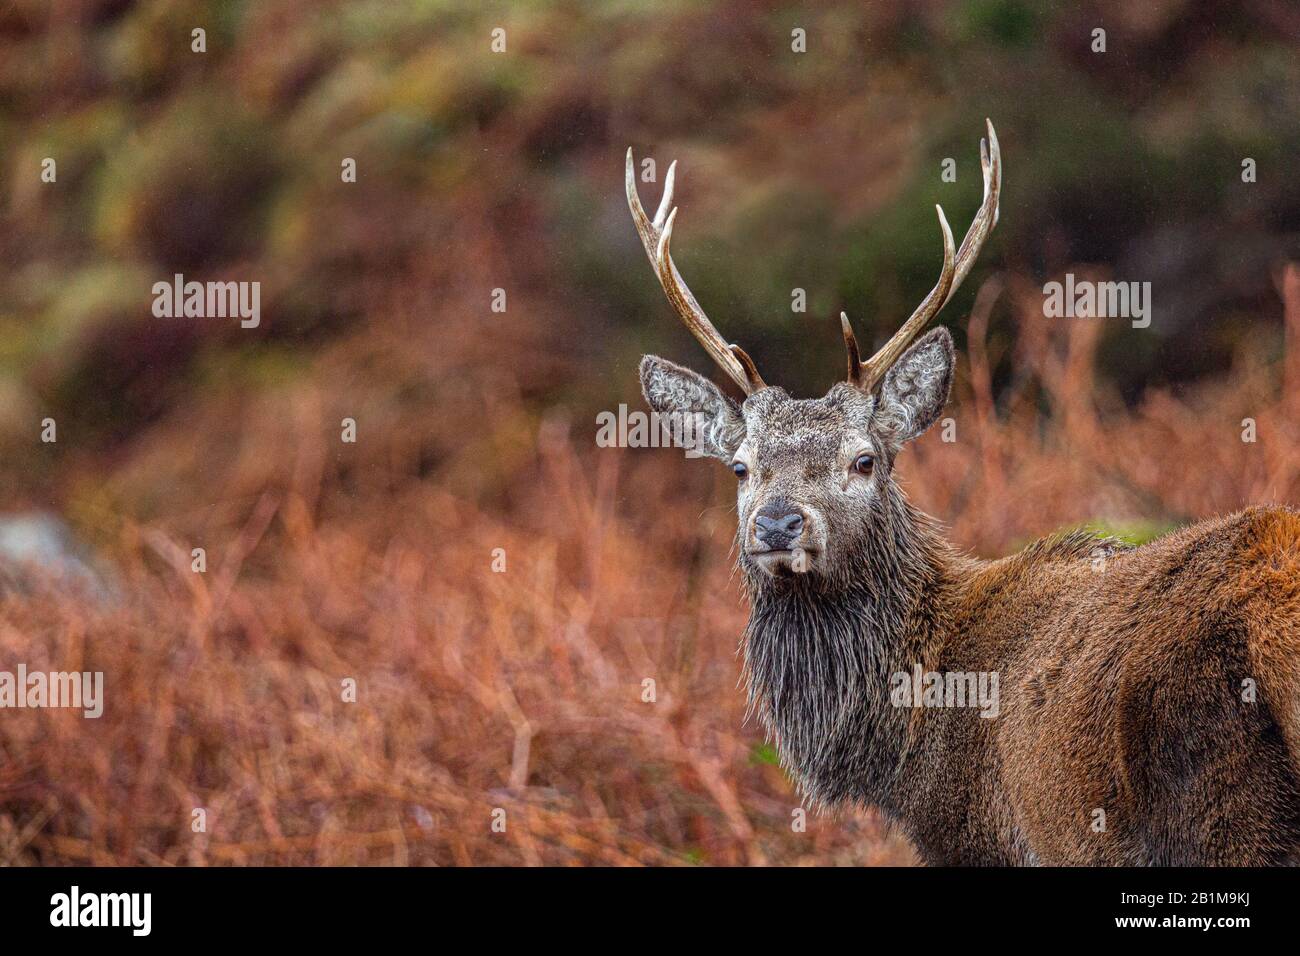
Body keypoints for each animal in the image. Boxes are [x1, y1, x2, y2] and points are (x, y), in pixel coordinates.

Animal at [626, 121, 1300, 865]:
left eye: (864, 460)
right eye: (741, 467)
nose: (778, 524)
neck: (906, 734)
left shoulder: (980, 839)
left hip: (1219, 801)